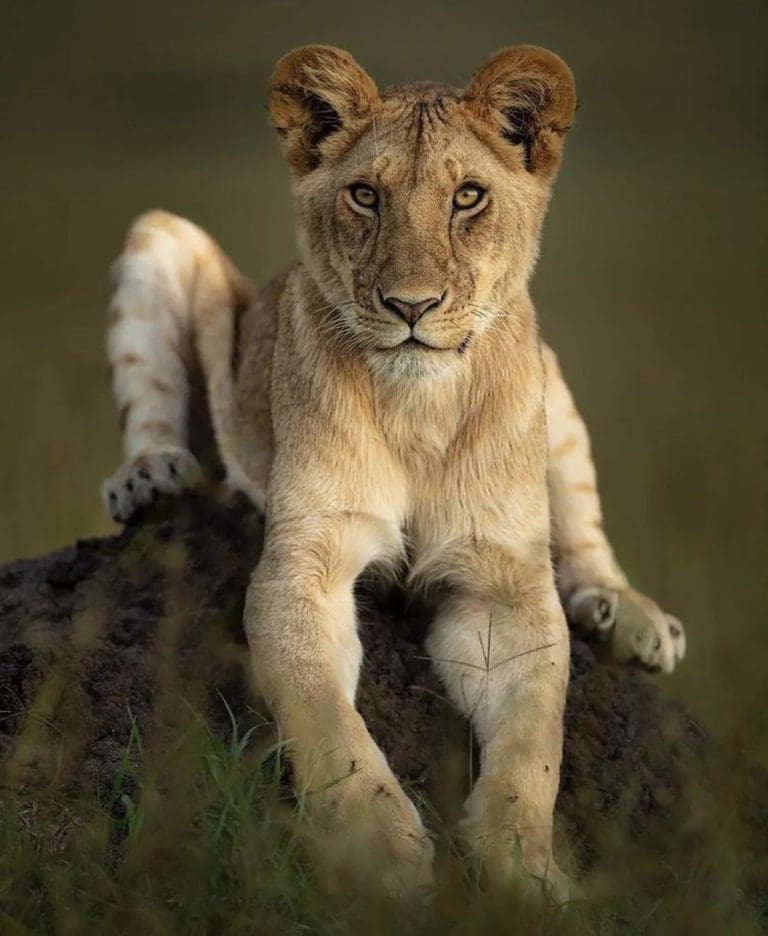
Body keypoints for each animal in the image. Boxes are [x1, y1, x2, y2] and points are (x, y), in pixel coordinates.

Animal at [101, 45, 685, 901]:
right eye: (365, 195)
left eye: (468, 196)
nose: (412, 306)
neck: (420, 406)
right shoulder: (303, 564)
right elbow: (323, 717)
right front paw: (377, 852)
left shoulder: (504, 587)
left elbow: (533, 745)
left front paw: (522, 869)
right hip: (163, 239)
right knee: (154, 403)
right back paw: (152, 478)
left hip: (553, 380)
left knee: (584, 542)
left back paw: (633, 619)